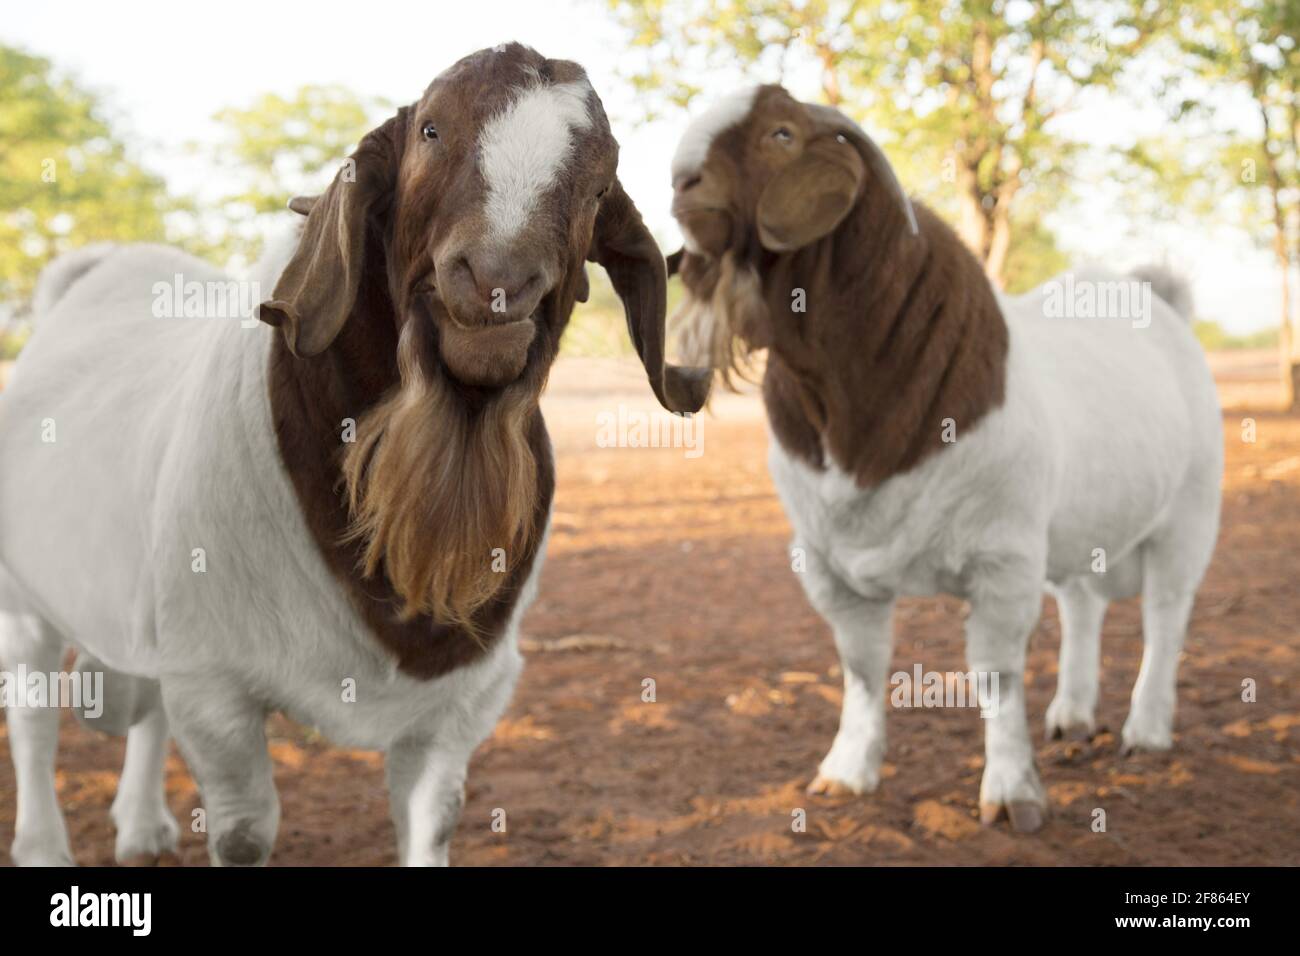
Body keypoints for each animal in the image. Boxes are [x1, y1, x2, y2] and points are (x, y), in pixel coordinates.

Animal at [0, 43, 708, 867]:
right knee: (34, 714)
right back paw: (44, 845)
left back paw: (143, 827)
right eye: (430, 129)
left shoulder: (462, 705)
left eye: (599, 184)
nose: (497, 281)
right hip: (28, 600)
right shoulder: (215, 686)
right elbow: (242, 831)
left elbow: (431, 820)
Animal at [668, 85, 1222, 832]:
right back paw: (1073, 715)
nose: (680, 182)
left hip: (1189, 515)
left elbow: (996, 673)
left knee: (1166, 613)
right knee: (1082, 604)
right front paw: (846, 773)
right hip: (1080, 525)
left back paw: (1147, 731)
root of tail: (1159, 300)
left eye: (780, 133)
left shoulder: (1003, 559)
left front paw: (1013, 795)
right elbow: (862, 667)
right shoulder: (829, 567)